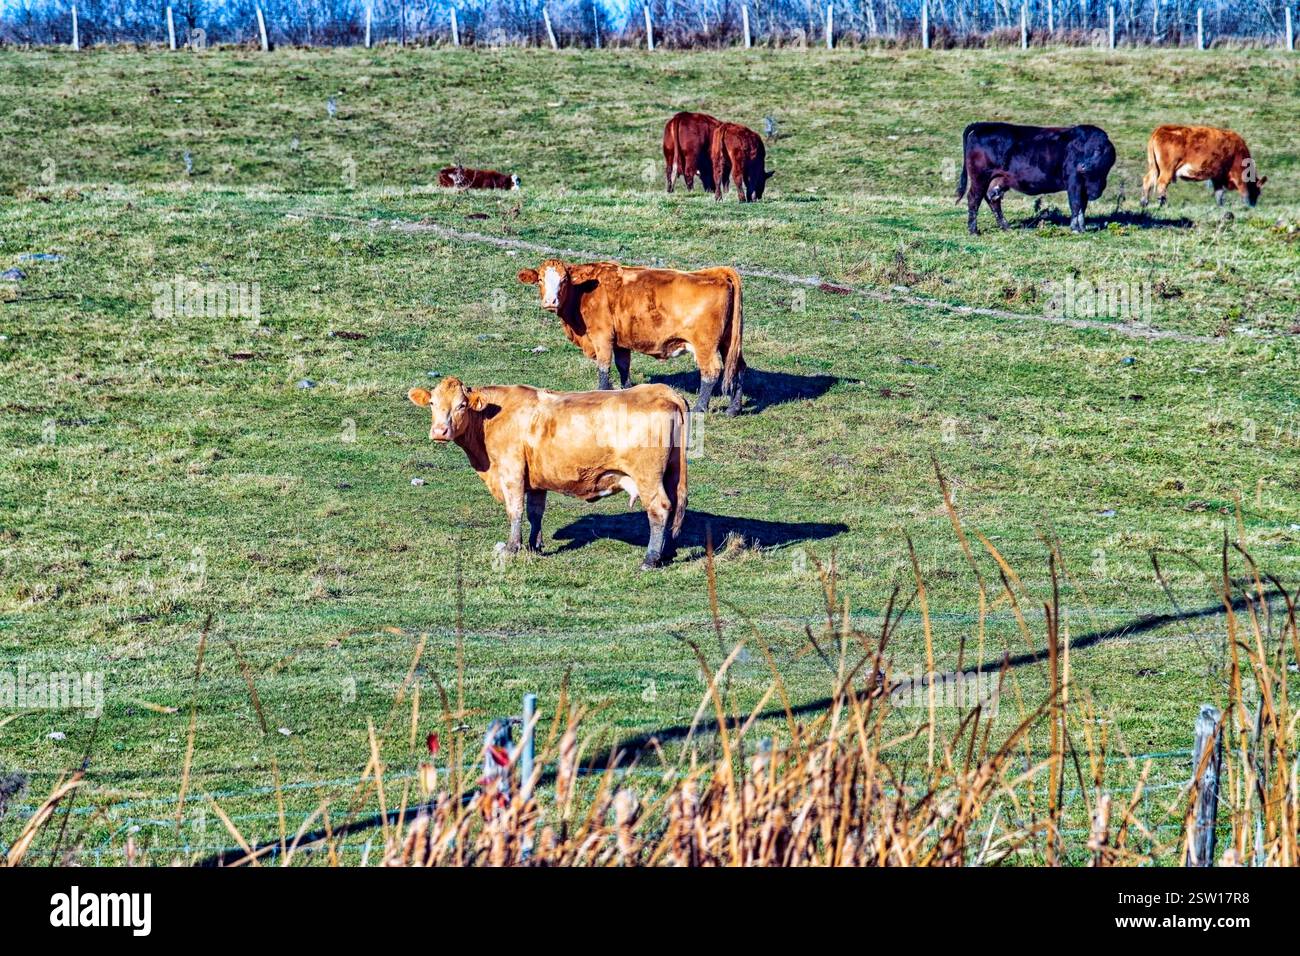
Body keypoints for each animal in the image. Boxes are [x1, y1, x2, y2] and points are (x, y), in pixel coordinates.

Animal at [407, 377, 688, 570]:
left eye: (462, 405)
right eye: (432, 403)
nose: (440, 431)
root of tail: (663, 391)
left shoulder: (511, 471)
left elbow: (515, 510)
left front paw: (512, 547)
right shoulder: (536, 479)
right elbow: (535, 512)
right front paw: (535, 545)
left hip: (647, 476)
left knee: (660, 508)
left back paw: (651, 559)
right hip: (672, 473)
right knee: (675, 504)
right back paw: (667, 552)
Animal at [517, 259, 746, 416]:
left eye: (564, 280)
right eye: (540, 279)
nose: (550, 301)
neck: (585, 290)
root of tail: (717, 273)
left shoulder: (602, 336)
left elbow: (604, 367)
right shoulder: (621, 341)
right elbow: (623, 366)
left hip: (704, 346)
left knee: (711, 372)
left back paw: (699, 408)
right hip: (729, 343)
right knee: (737, 368)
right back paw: (733, 409)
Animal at [956, 122, 1116, 234]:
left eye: (1098, 150)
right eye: (1082, 150)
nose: (1081, 166)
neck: (1096, 180)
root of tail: (983, 125)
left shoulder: (1084, 188)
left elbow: (1083, 206)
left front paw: (1082, 228)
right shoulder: (1074, 182)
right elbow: (1076, 204)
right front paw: (1075, 229)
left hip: (997, 179)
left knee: (993, 200)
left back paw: (1006, 227)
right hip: (980, 177)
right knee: (974, 199)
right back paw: (973, 231)